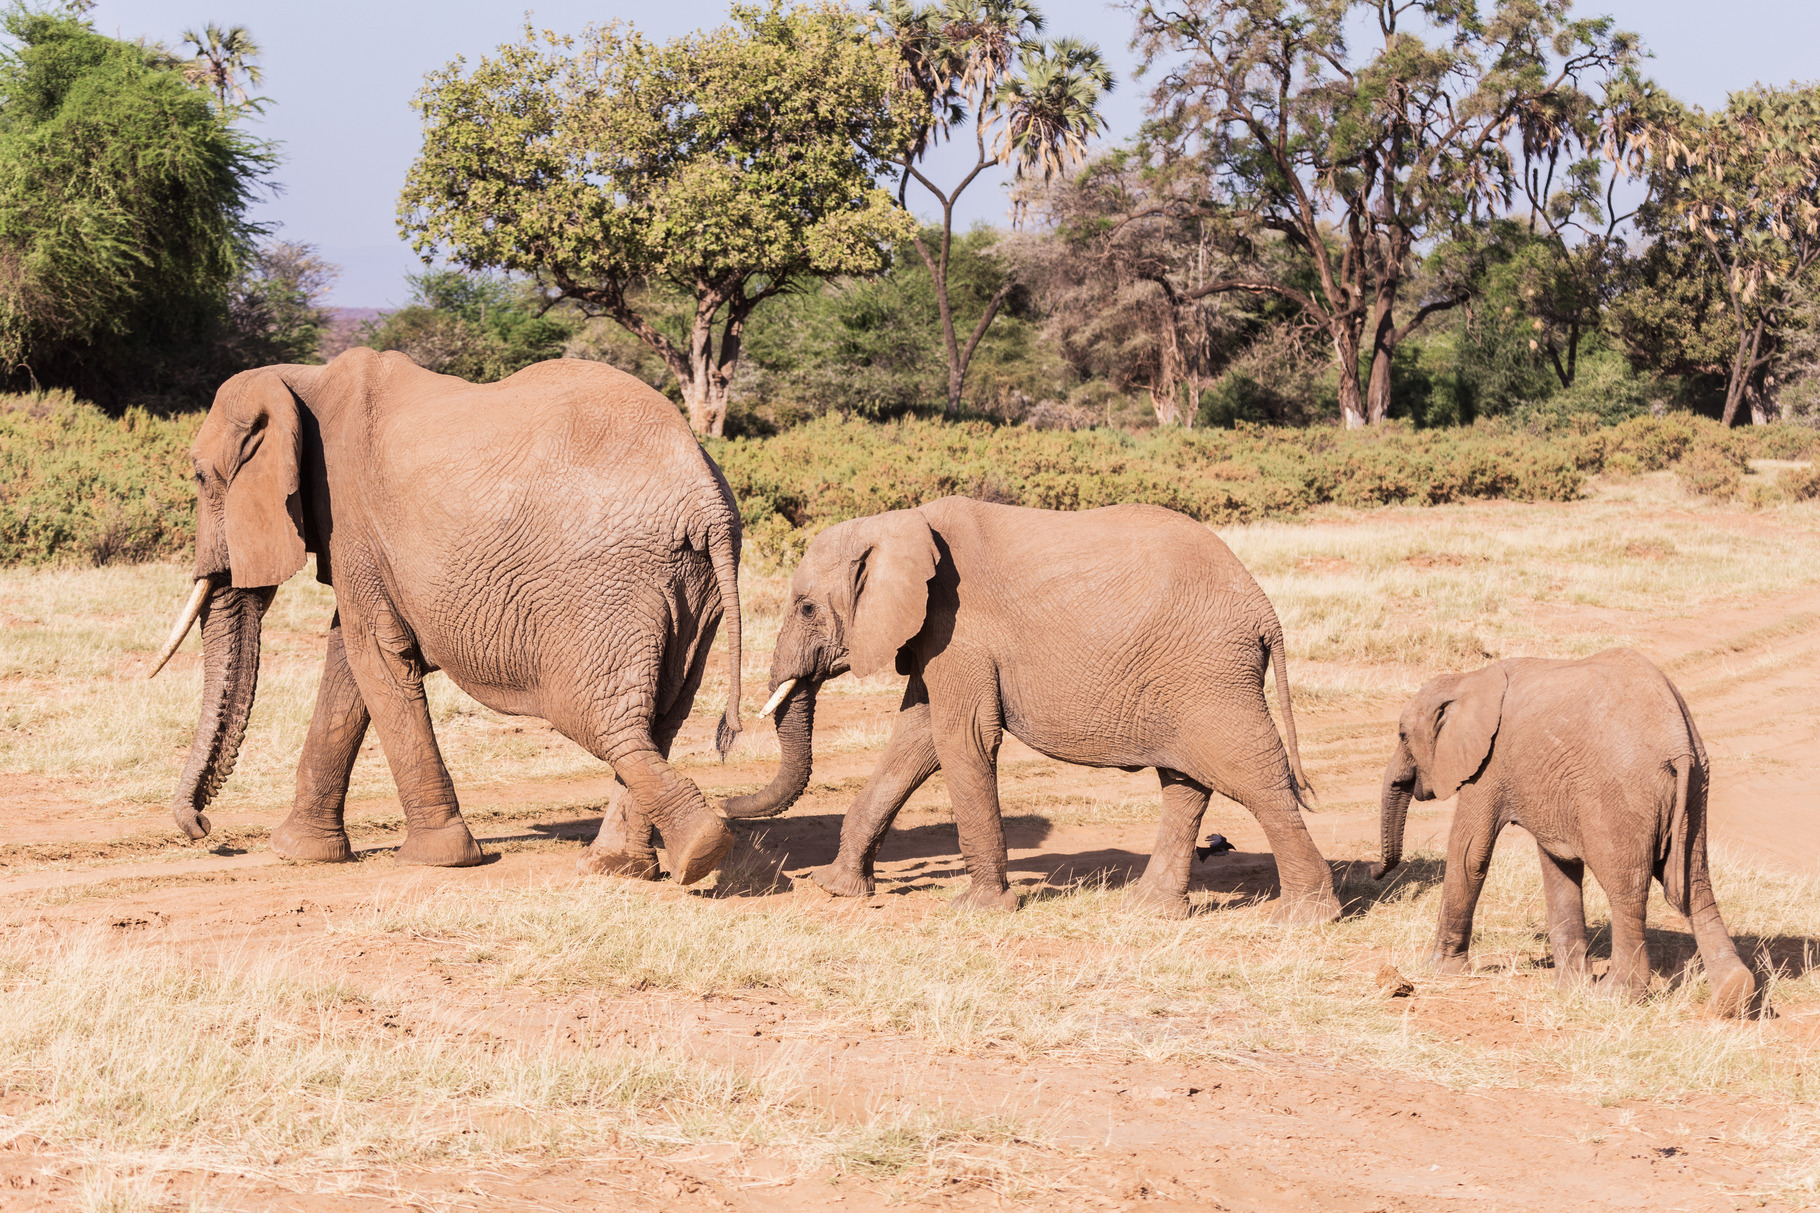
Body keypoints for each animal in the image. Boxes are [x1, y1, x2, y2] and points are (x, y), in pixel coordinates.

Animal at [149, 349, 744, 885]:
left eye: (199, 476)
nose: (205, 830)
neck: (303, 380)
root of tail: (705, 497)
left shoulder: (351, 517)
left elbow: (374, 656)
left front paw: (436, 860)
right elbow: (350, 662)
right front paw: (300, 853)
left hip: (604, 586)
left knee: (601, 721)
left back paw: (696, 852)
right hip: (689, 586)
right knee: (661, 718)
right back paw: (624, 867)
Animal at [721, 497, 1342, 923]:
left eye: (805, 608)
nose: (725, 799)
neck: (901, 522)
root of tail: (1265, 611)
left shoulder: (959, 630)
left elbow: (962, 740)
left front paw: (977, 909)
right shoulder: (936, 639)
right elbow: (915, 742)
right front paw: (835, 888)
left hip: (1210, 674)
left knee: (1254, 776)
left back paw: (1304, 919)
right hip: (1190, 679)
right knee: (1185, 783)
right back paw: (1147, 909)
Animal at [1373, 648, 1756, 1016]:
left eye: (1402, 735)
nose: (1378, 873)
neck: (1467, 679)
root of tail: (1678, 742)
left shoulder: (1488, 765)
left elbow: (1469, 854)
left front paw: (1439, 971)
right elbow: (1558, 863)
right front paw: (1569, 988)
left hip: (1619, 797)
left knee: (1627, 891)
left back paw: (1615, 996)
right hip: (1695, 791)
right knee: (1695, 884)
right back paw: (1734, 994)